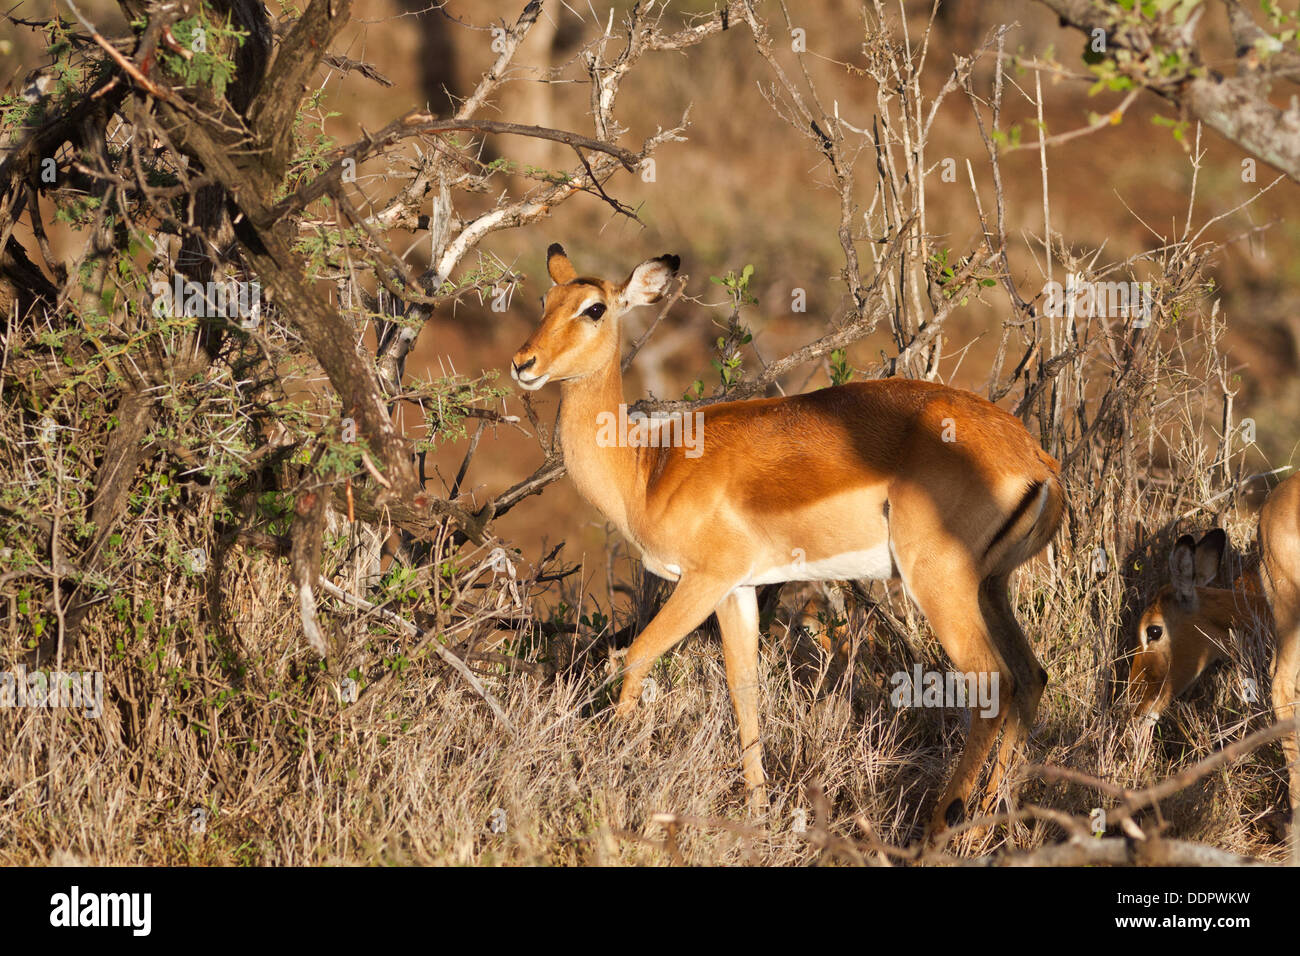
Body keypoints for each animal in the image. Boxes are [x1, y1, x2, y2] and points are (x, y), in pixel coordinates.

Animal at [511, 245, 1064, 836]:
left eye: (593, 308)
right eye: (546, 300)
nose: (524, 363)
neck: (647, 471)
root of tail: (1035, 458)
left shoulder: (704, 580)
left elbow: (635, 656)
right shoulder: (736, 591)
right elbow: (744, 689)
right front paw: (757, 812)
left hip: (940, 584)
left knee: (994, 683)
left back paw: (943, 826)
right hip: (991, 586)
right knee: (1031, 676)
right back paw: (985, 819)